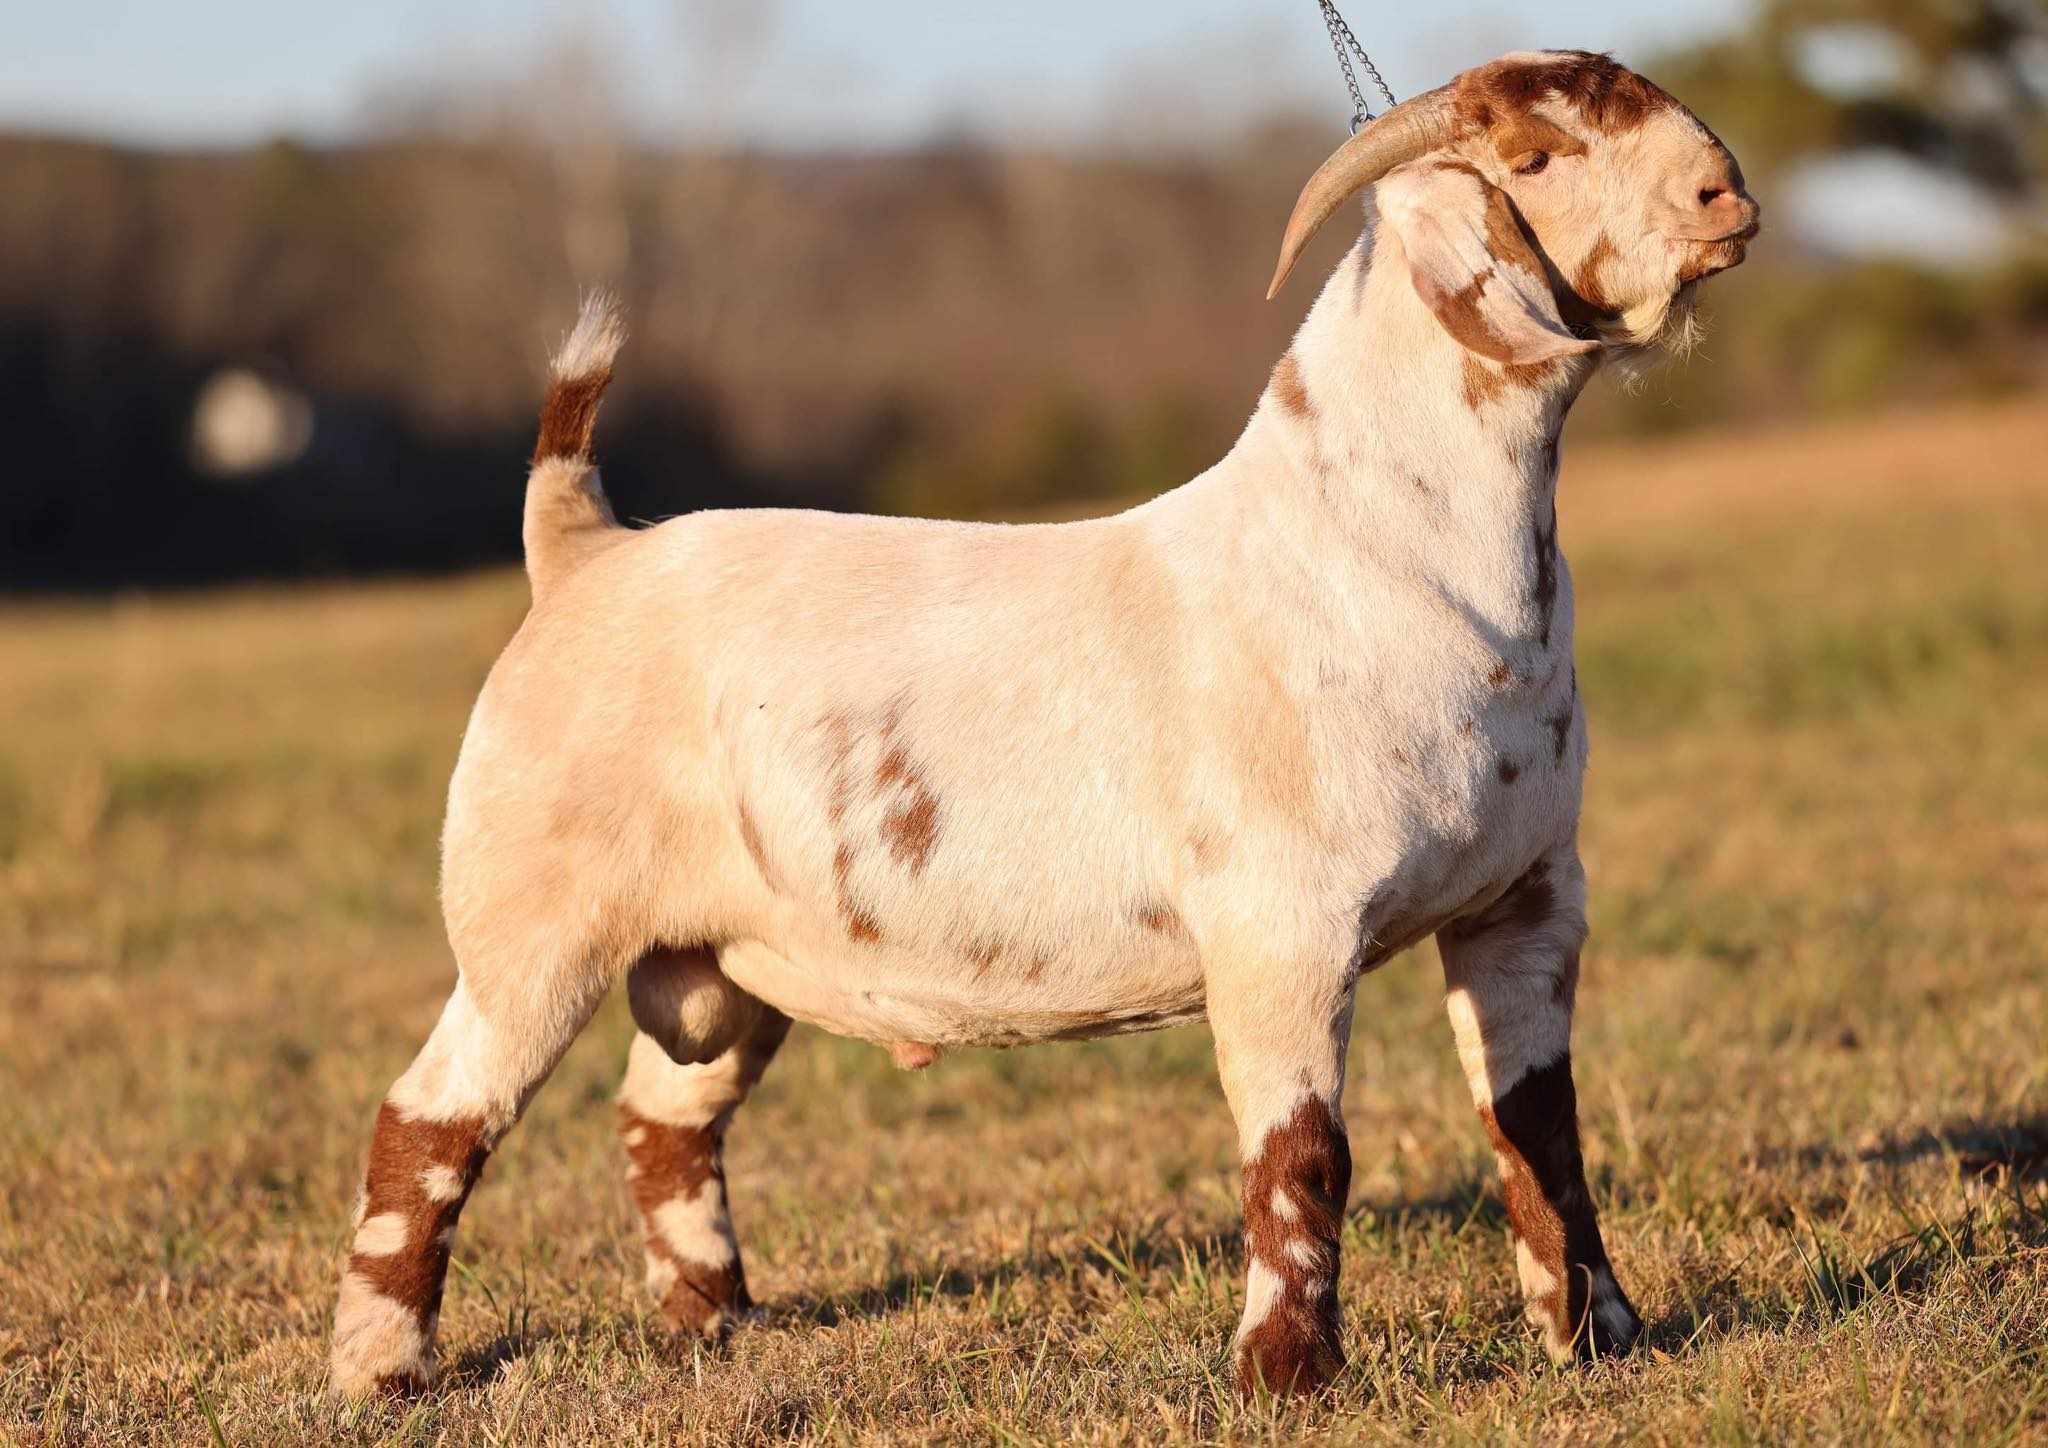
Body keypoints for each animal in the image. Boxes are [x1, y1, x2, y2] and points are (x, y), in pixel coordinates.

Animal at [330, 50, 1759, 1400]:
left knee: (663, 1114)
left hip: (721, 956)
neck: (1374, 541)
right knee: (428, 1119)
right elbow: (1301, 1147)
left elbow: (1538, 1125)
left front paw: (1599, 1336)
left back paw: (712, 1322)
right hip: (532, 919)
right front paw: (1285, 1373)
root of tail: (581, 549)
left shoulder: (1526, 895)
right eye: (1533, 155)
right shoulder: (1280, 924)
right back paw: (381, 1369)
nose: (1726, 196)